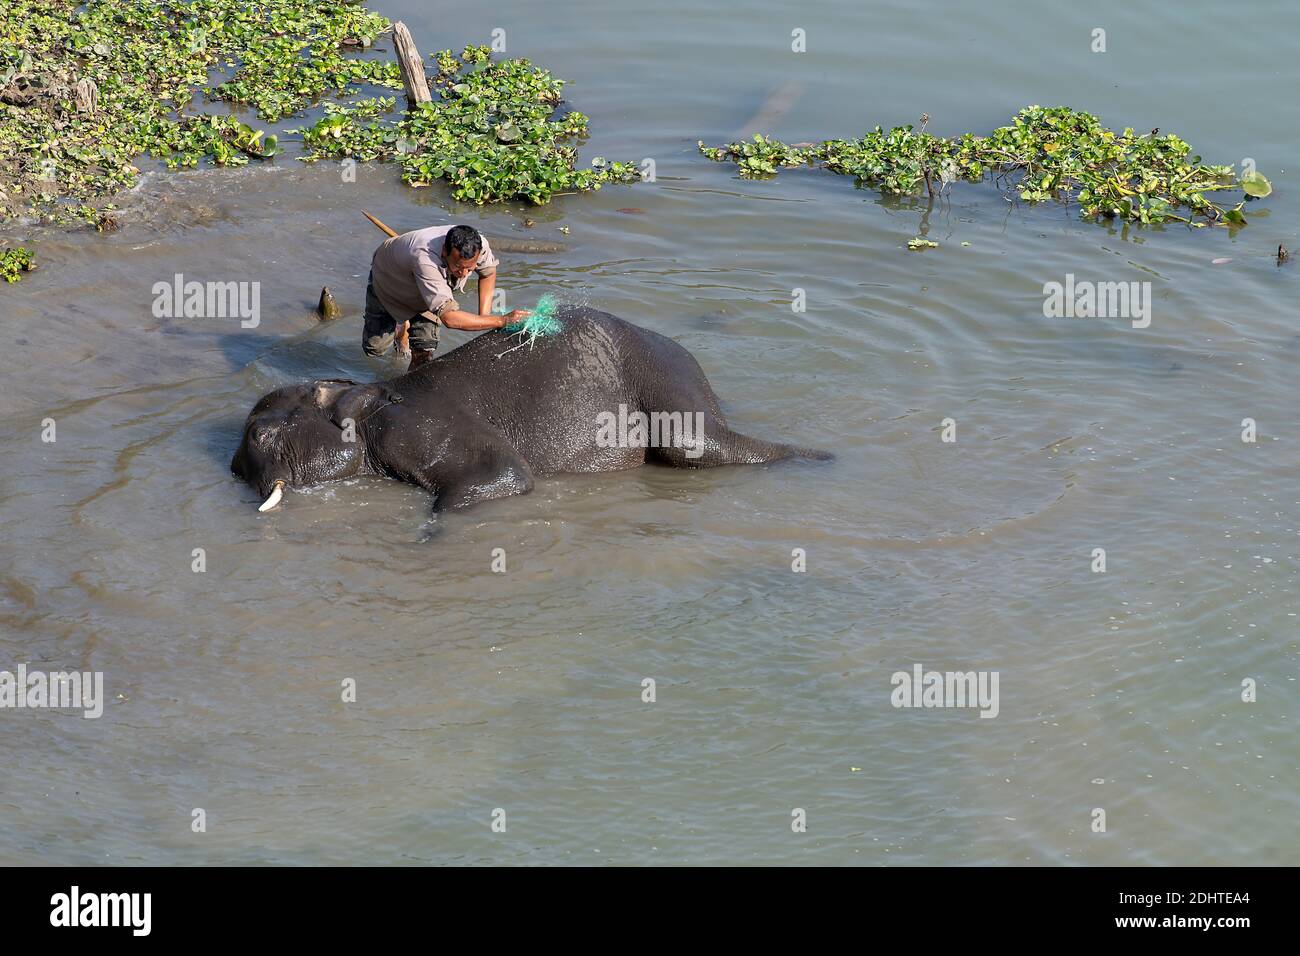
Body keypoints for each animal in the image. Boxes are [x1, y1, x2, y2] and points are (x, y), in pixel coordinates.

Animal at [231, 306, 830, 514]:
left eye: (261, 435)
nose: (237, 475)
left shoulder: (414, 424)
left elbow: (507, 474)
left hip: (669, 384)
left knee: (697, 447)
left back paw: (820, 458)